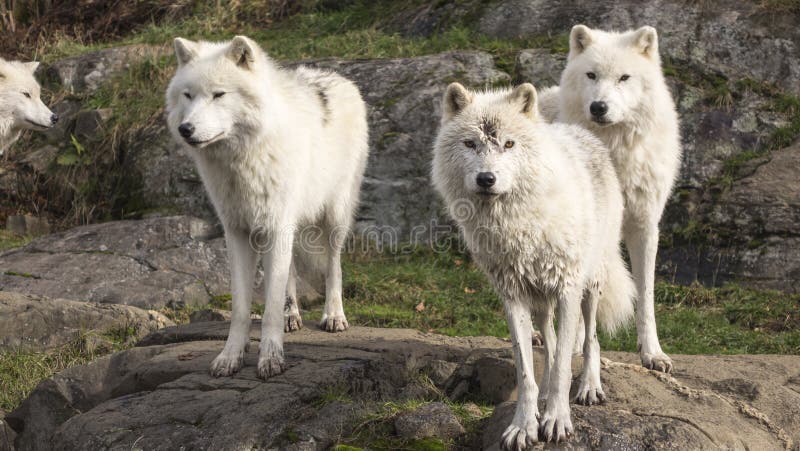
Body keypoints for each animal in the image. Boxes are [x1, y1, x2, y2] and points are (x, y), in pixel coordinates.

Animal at [166, 35, 369, 379]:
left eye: (219, 94)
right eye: (188, 95)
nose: (186, 129)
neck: (243, 159)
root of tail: (333, 75)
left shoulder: (277, 225)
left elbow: (270, 305)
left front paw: (270, 357)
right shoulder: (238, 232)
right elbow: (241, 307)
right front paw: (231, 356)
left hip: (333, 217)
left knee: (333, 265)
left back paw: (333, 315)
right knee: (290, 272)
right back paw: (292, 315)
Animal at [432, 82, 634, 447]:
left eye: (509, 144)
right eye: (470, 143)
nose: (486, 178)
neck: (517, 224)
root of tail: (580, 133)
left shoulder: (568, 289)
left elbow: (566, 363)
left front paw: (556, 420)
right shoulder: (513, 296)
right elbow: (527, 370)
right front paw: (524, 424)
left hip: (591, 283)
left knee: (590, 339)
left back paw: (589, 387)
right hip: (541, 299)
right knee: (552, 346)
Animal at [538, 25, 682, 373]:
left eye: (624, 78)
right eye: (591, 75)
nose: (599, 107)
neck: (614, 150)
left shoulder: (645, 226)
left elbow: (645, 296)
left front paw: (653, 353)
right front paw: (574, 348)